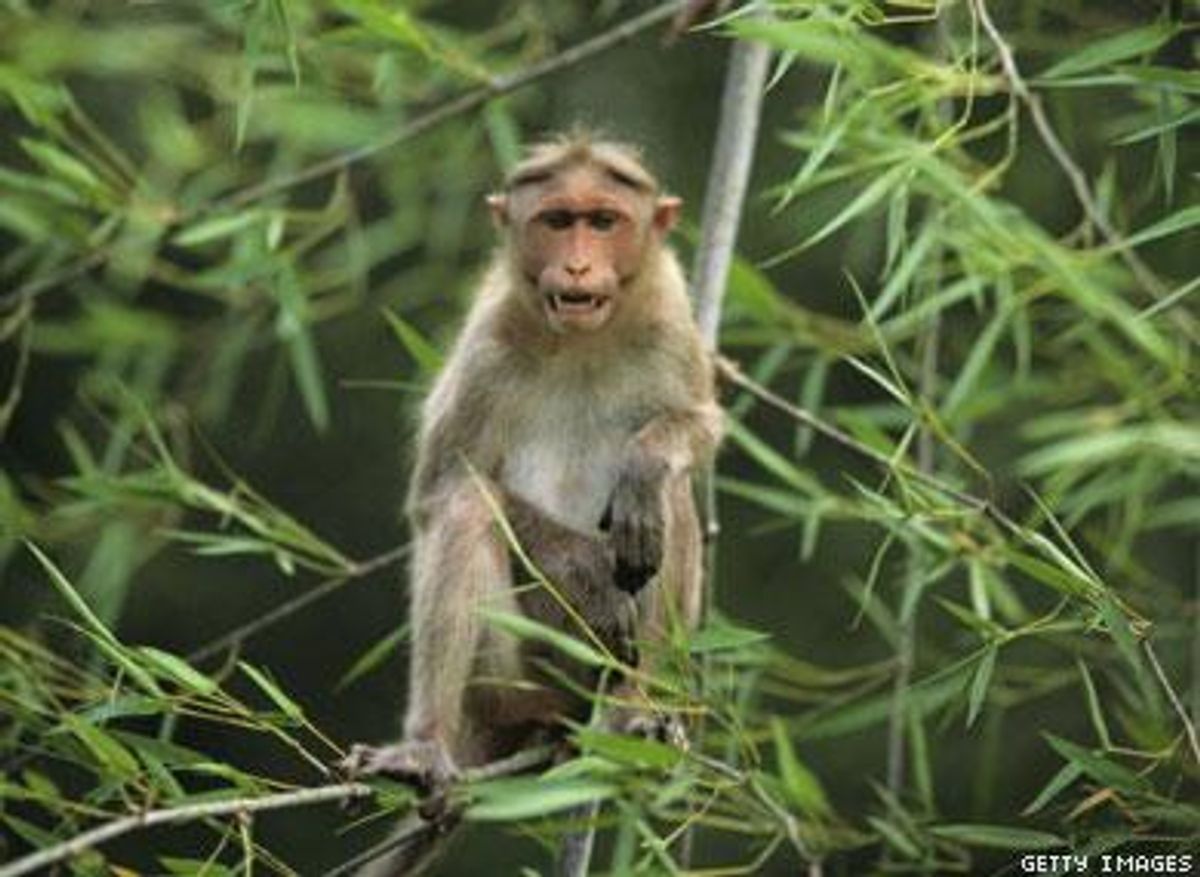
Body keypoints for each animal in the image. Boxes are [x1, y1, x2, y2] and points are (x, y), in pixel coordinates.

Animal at [344, 133, 723, 856]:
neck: (582, 343)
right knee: (467, 513)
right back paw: (427, 746)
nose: (576, 265)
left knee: (670, 503)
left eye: (602, 221)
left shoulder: (671, 321)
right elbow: (440, 491)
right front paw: (586, 572)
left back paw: (637, 714)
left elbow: (700, 426)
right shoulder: (486, 346)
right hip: (511, 674)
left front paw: (646, 463)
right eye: (556, 220)